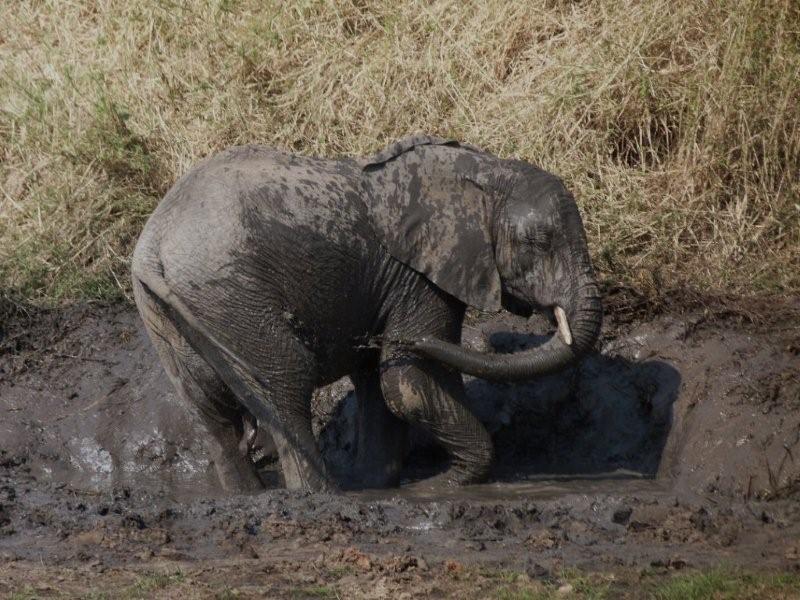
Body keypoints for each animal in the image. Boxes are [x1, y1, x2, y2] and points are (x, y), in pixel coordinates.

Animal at [131, 134, 602, 493]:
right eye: (539, 242)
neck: (484, 172)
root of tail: (154, 245)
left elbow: (378, 381)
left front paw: (381, 484)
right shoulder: (417, 277)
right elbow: (409, 380)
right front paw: (445, 484)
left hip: (172, 313)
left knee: (212, 417)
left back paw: (249, 497)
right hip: (231, 296)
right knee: (286, 382)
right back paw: (322, 497)